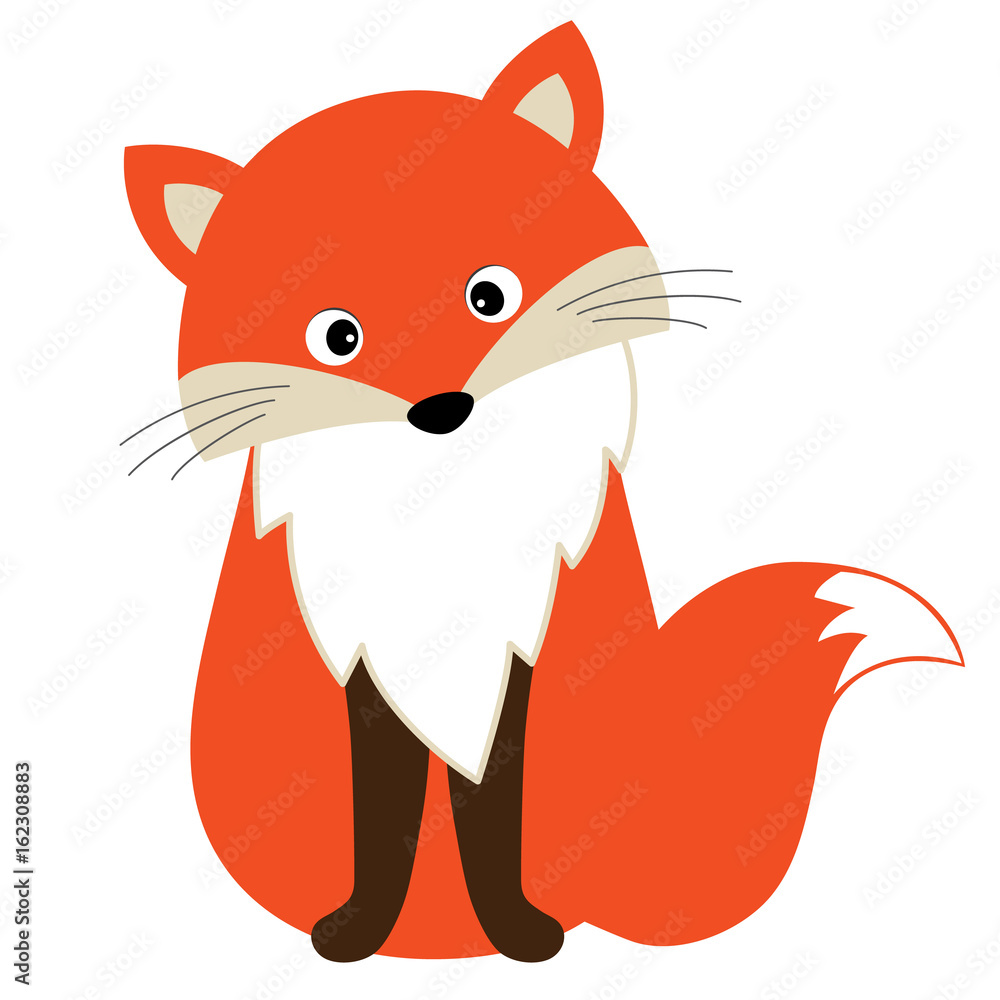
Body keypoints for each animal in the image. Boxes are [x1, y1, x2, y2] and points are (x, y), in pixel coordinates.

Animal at [124, 23, 962, 964]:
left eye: (490, 295)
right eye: (338, 337)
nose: (440, 408)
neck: (445, 508)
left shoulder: (525, 656)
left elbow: (493, 807)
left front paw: (519, 928)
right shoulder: (361, 673)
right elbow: (382, 813)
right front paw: (360, 927)